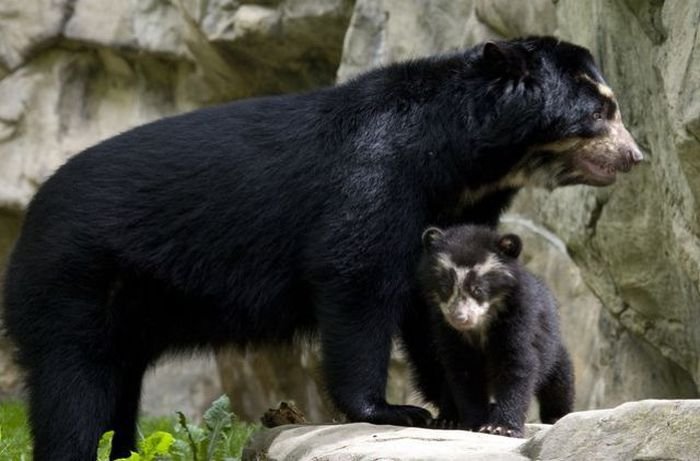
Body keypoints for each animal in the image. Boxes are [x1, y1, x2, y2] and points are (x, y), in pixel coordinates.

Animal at [418, 225, 574, 437]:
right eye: (445, 288)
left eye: (478, 290)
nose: (459, 318)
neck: (481, 325)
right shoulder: (447, 332)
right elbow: (463, 371)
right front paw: (474, 423)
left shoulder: (519, 320)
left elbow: (517, 364)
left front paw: (501, 427)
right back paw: (446, 419)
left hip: (553, 350)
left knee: (560, 380)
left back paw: (556, 416)